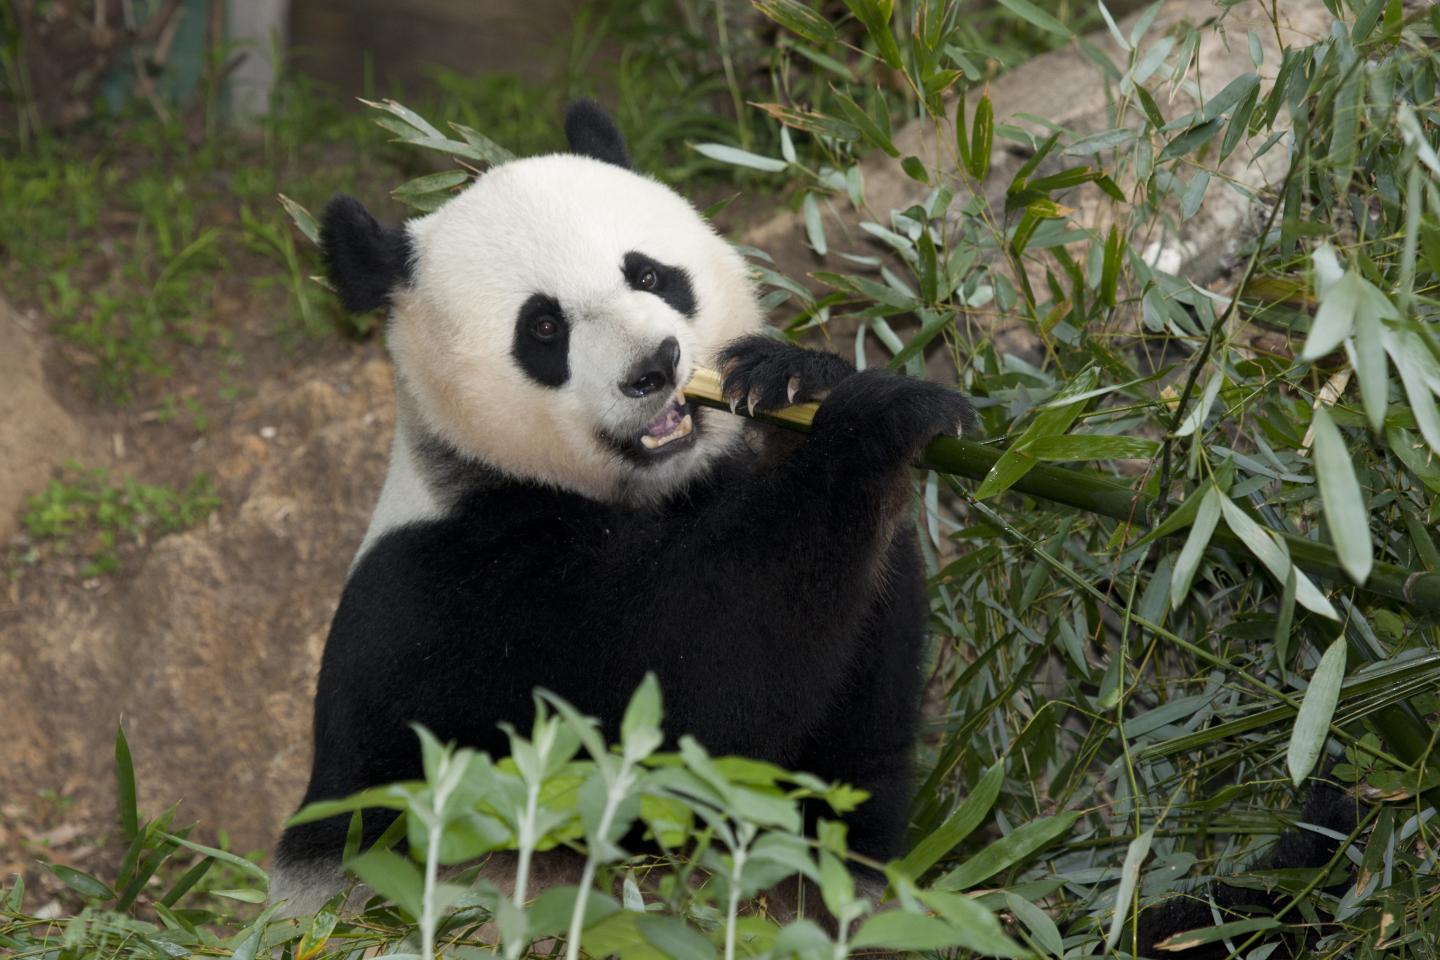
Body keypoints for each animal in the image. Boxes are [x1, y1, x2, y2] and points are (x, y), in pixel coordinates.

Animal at [271, 99, 976, 913]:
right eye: (544, 327)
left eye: (648, 274)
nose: (655, 367)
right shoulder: (460, 606)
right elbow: (696, 694)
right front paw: (875, 422)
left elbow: (850, 764)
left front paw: (791, 379)